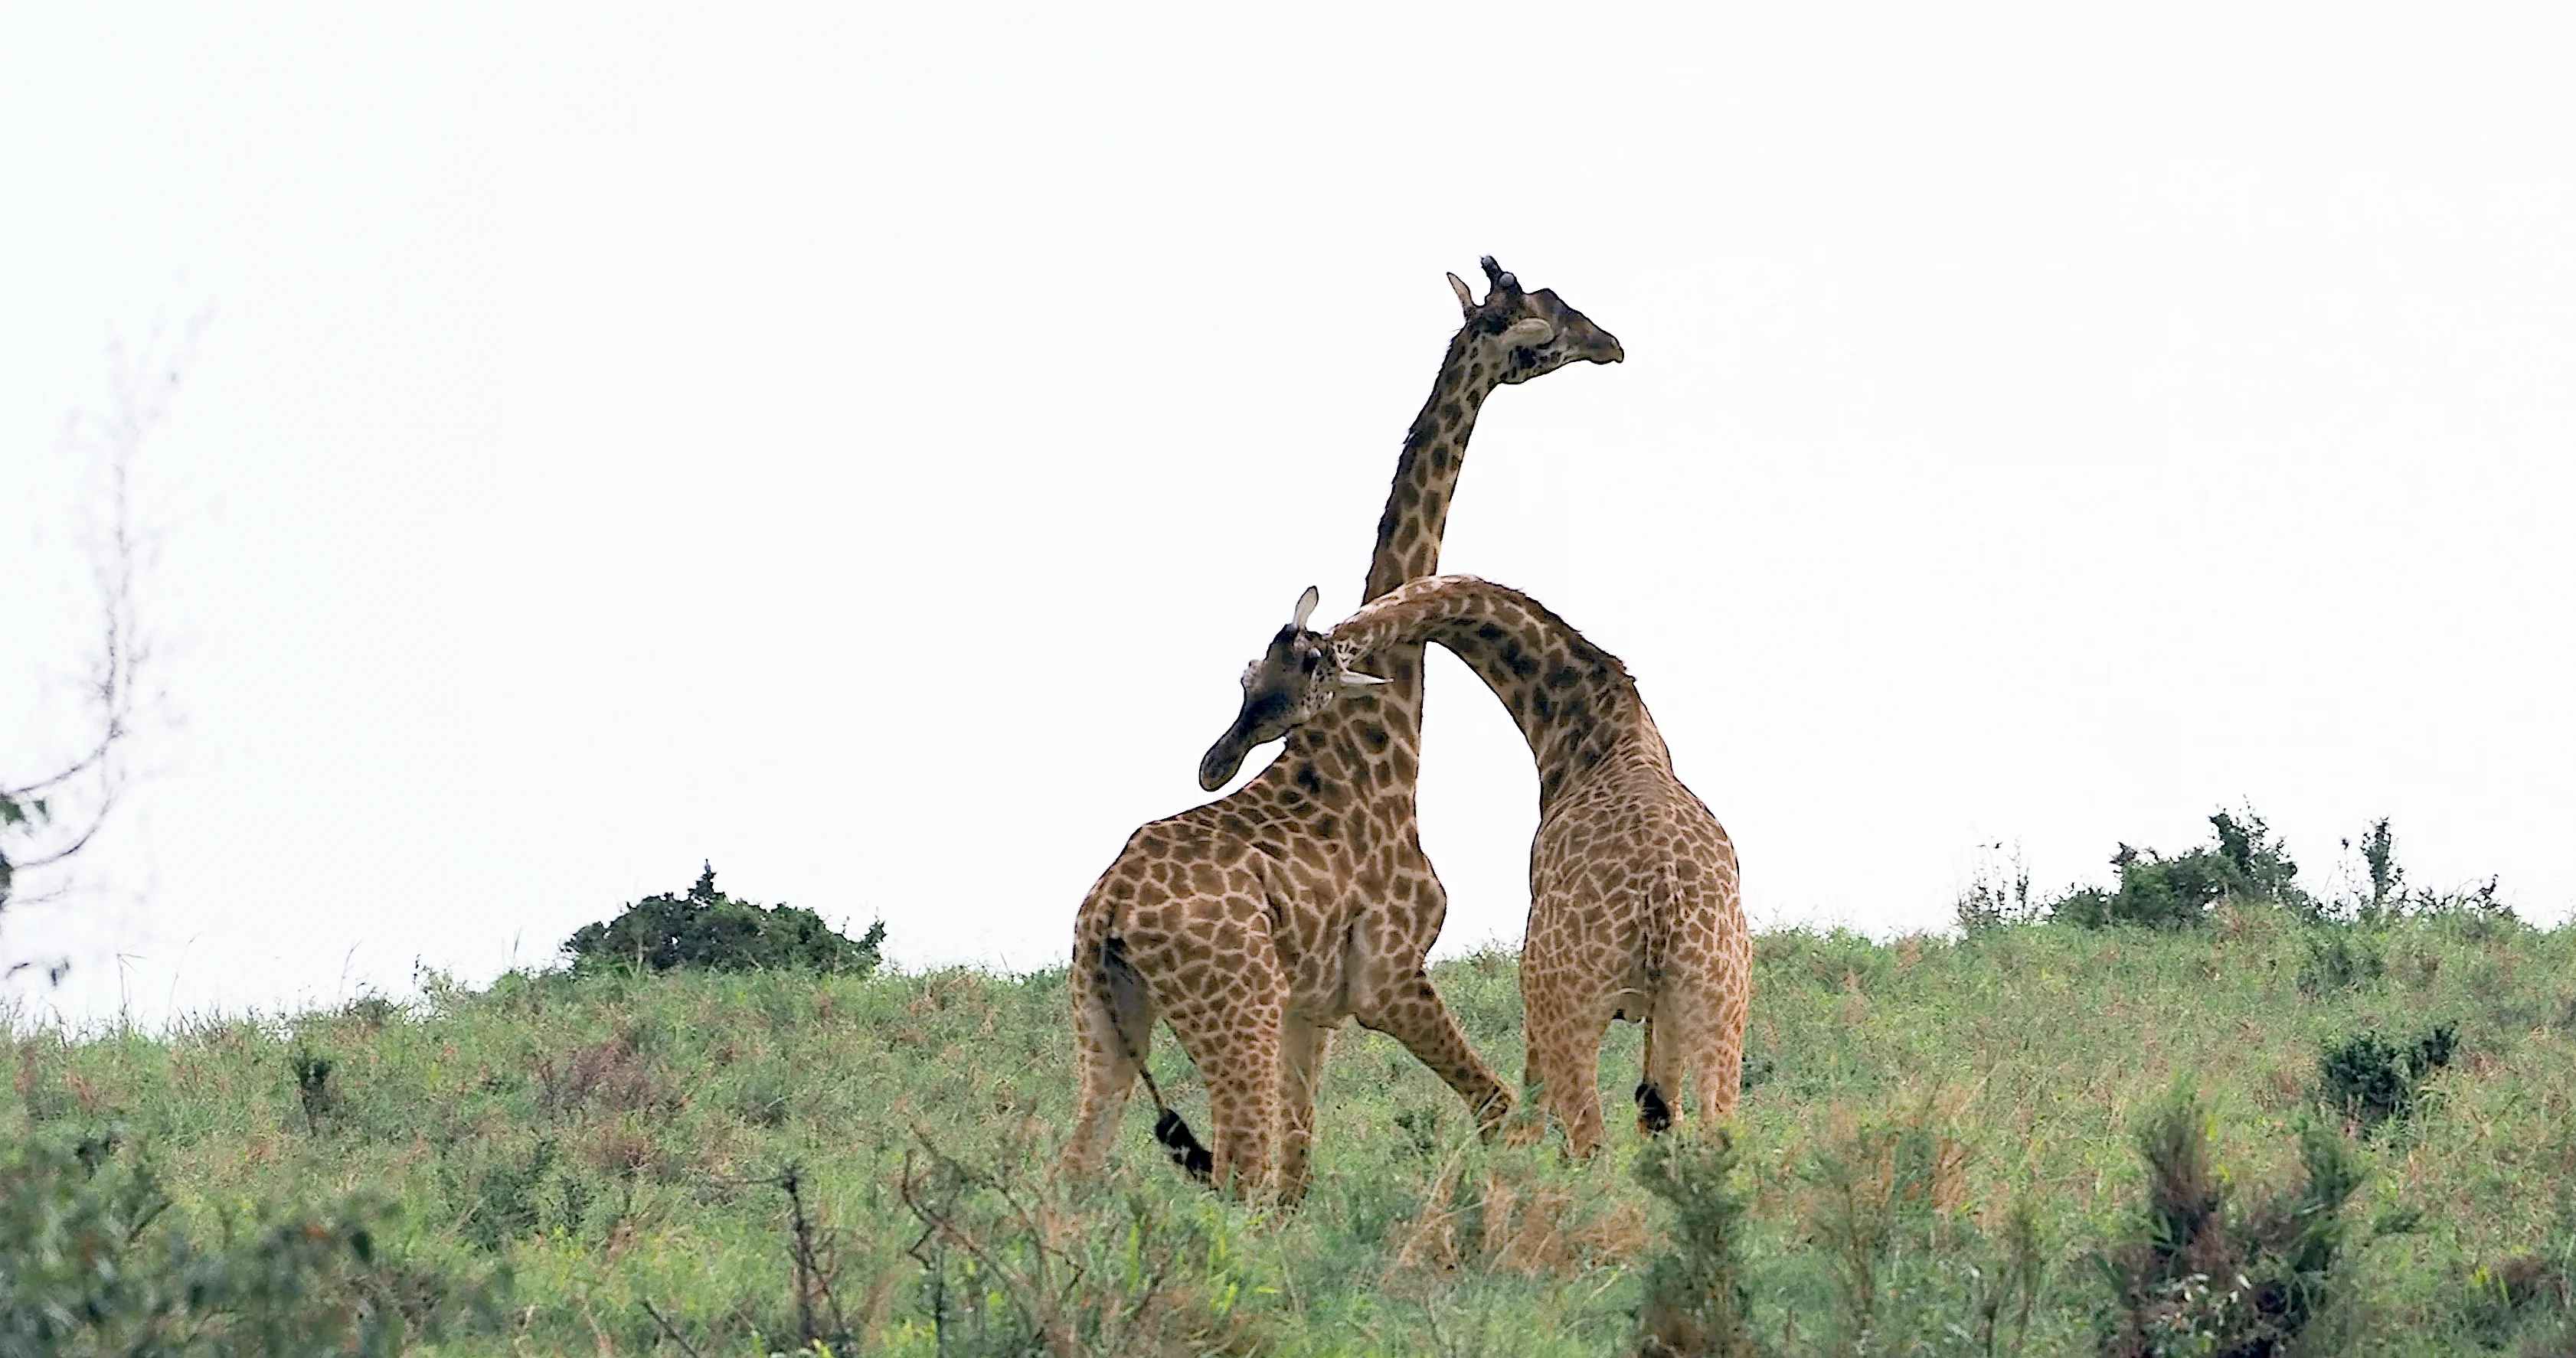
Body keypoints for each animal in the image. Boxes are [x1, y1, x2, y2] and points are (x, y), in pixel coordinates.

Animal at [1062, 259, 1623, 1199]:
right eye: (1542, 328)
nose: (1610, 343)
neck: (1382, 748)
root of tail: (1106, 910)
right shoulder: (1389, 981)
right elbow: (1500, 1110)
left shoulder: (1310, 1012)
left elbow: (1301, 1170)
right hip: (1232, 1009)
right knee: (1239, 1166)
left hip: (1105, 1017)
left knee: (1076, 1171)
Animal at [1201, 575, 1750, 1159]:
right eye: (1251, 676)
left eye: (1303, 703)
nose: (1215, 766)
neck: (1596, 735)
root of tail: (1660, 904)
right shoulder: (1663, 1016)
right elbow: (1656, 1118)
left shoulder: (1539, 998)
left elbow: (1534, 1111)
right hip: (1718, 1003)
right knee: (1713, 1127)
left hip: (1564, 1000)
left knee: (1585, 1138)